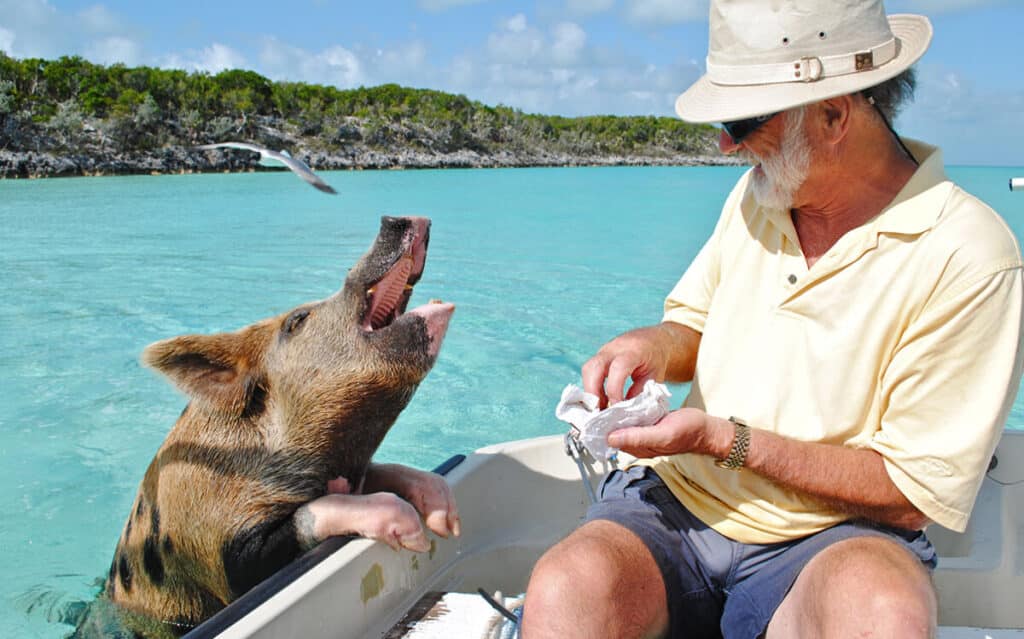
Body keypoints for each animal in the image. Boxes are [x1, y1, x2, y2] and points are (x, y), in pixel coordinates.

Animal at [72, 216, 458, 638]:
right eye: (296, 320)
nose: (396, 219)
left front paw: (446, 517)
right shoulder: (224, 553)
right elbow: (303, 520)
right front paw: (413, 531)